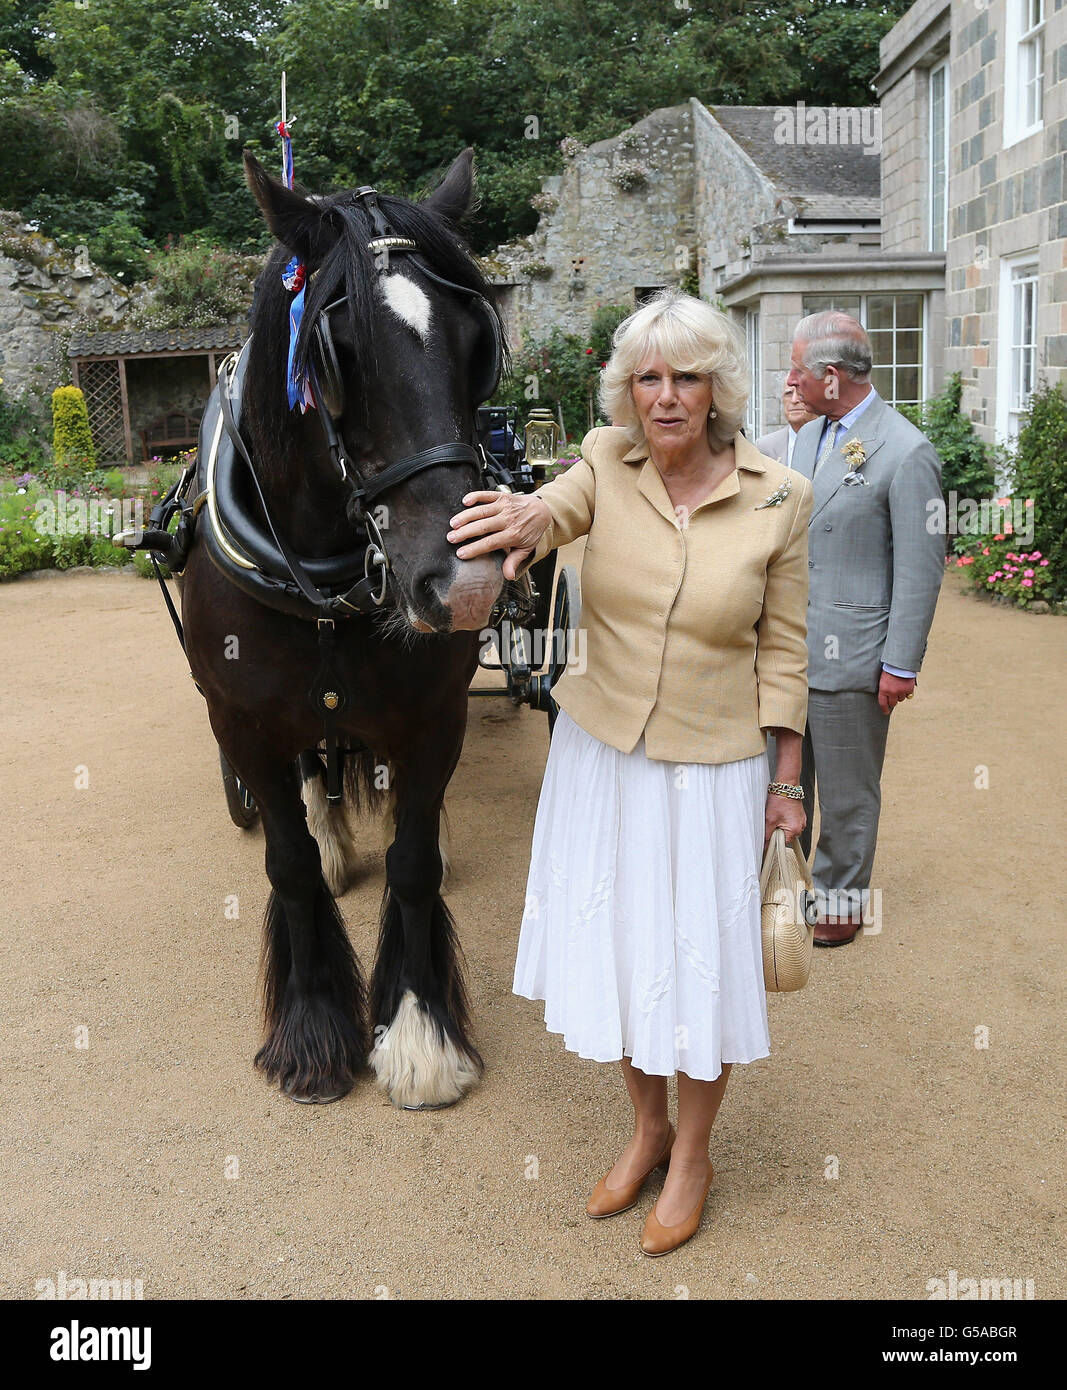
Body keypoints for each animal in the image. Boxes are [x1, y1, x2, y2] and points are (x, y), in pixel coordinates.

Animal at [178, 147, 511, 1109]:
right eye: (337, 356)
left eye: (475, 345)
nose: (467, 582)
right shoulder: (241, 722)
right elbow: (286, 861)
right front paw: (312, 1031)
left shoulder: (433, 717)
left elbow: (414, 861)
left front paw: (419, 1033)